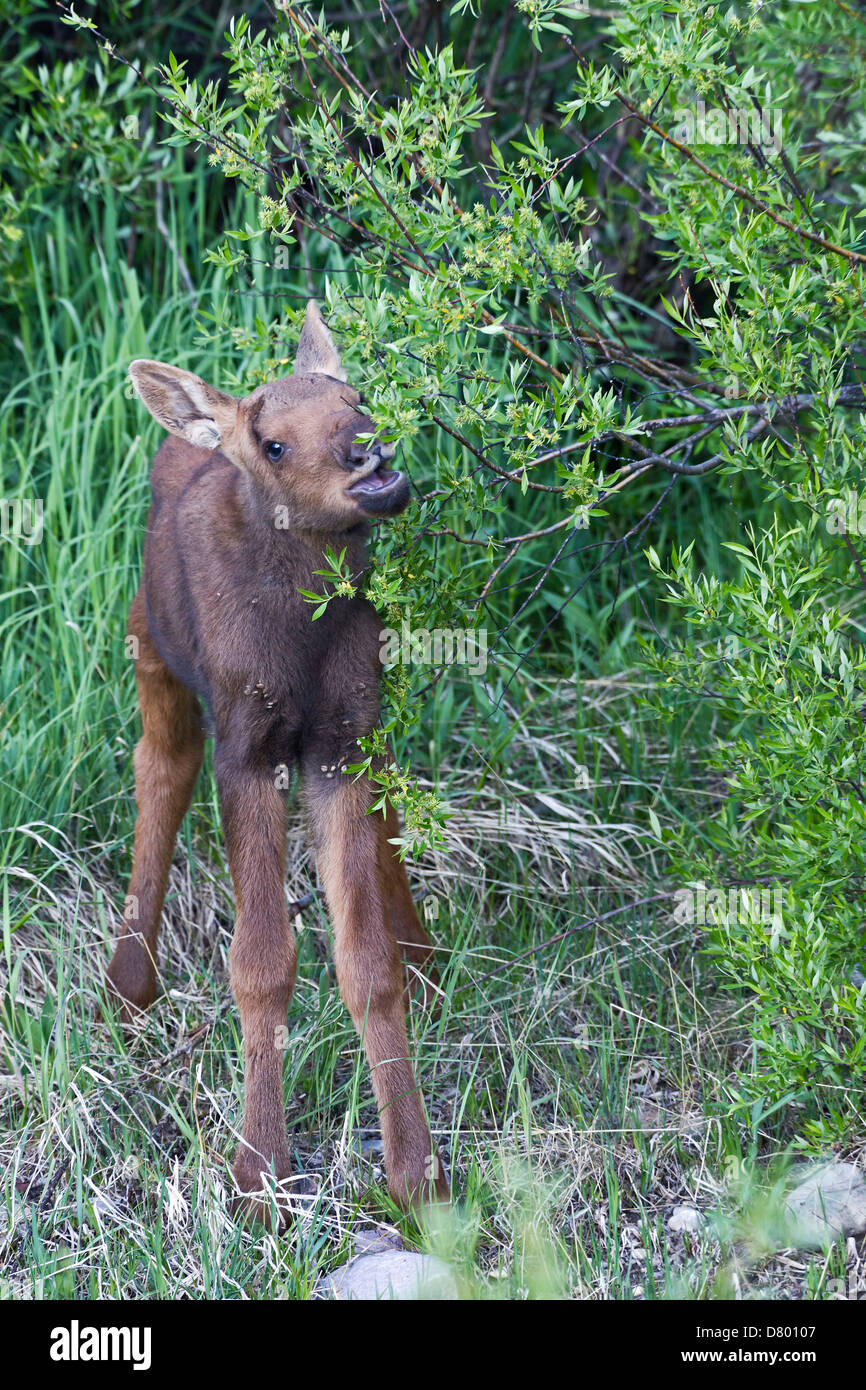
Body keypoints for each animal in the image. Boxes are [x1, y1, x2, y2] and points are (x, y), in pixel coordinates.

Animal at [106, 301, 449, 1225]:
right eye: (273, 445)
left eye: (356, 395)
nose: (370, 452)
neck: (300, 624)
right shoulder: (249, 752)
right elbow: (260, 965)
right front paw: (259, 1175)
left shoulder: (341, 742)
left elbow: (364, 963)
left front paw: (417, 1176)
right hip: (154, 654)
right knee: (160, 771)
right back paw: (127, 986)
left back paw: (426, 958)